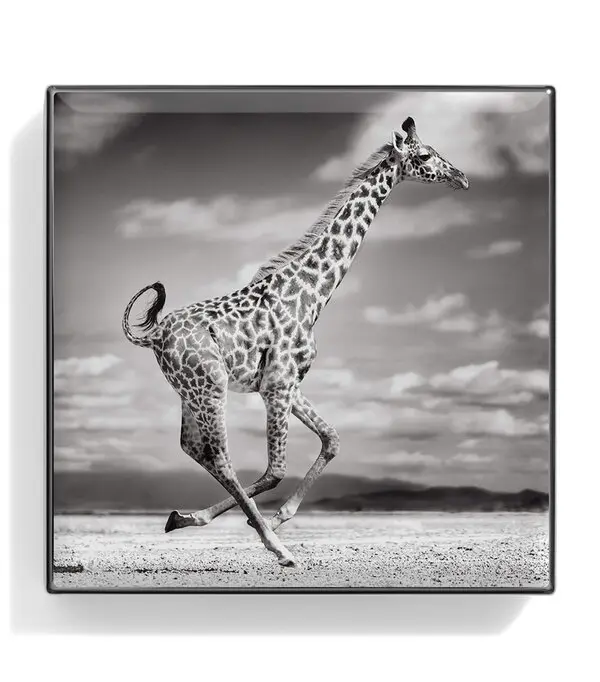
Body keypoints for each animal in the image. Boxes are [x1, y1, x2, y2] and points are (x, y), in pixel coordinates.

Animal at [122, 117, 469, 566]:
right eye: (424, 155)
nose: (462, 177)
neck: (313, 294)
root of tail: (154, 336)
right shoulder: (277, 385)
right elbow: (276, 470)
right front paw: (270, 528)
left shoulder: (288, 383)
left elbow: (332, 439)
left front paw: (271, 517)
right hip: (211, 386)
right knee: (219, 456)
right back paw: (278, 548)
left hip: (190, 391)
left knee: (193, 448)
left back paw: (185, 518)